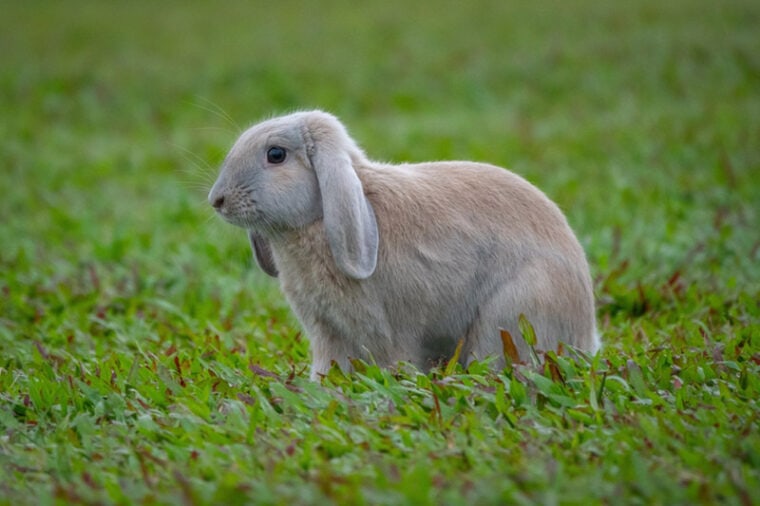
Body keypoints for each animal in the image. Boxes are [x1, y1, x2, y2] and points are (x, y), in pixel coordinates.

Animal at [208, 110, 600, 379]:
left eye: (276, 155)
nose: (217, 200)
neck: (318, 222)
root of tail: (585, 330)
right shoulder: (327, 331)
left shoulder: (389, 330)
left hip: (510, 314)